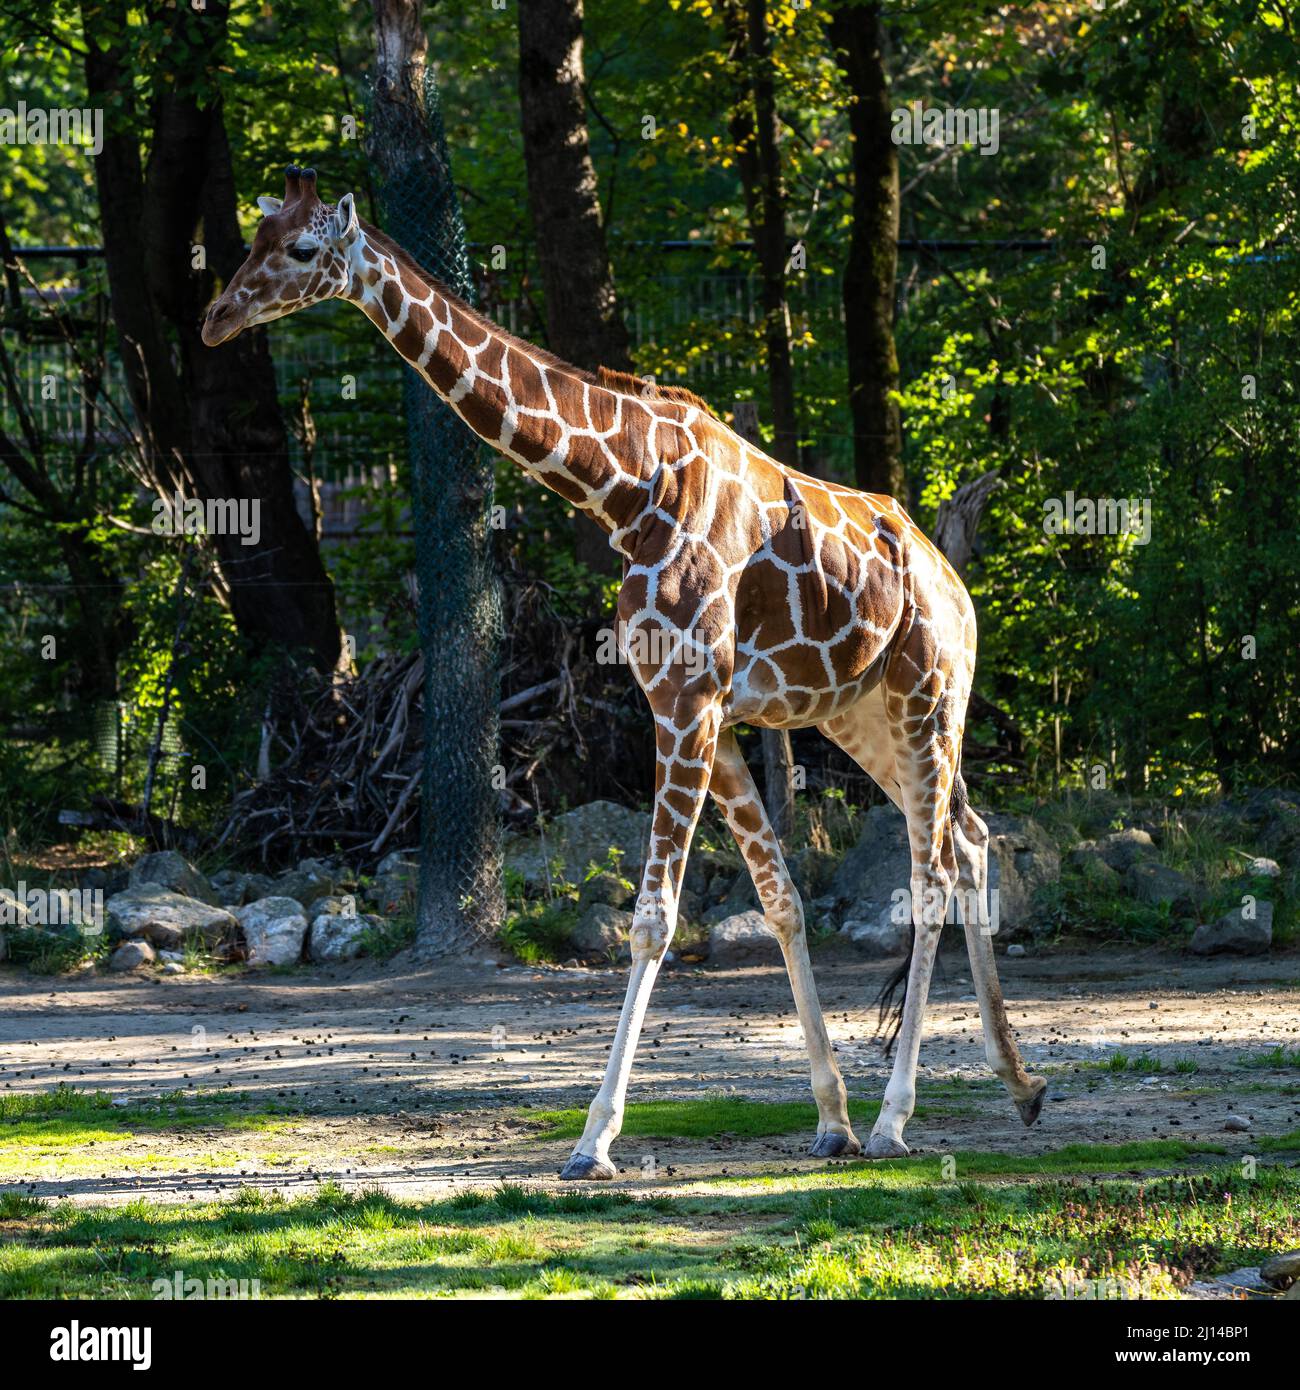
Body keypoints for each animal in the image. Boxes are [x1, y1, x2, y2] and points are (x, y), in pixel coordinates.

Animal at [203, 168, 1047, 1178]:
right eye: (254, 239)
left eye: (299, 250)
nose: (214, 319)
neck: (626, 487)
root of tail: (956, 584)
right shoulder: (698, 710)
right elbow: (781, 899)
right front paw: (827, 1117)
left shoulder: (690, 702)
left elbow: (654, 917)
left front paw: (594, 1139)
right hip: (861, 715)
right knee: (972, 835)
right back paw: (1018, 1087)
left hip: (930, 696)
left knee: (930, 874)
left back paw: (898, 1117)